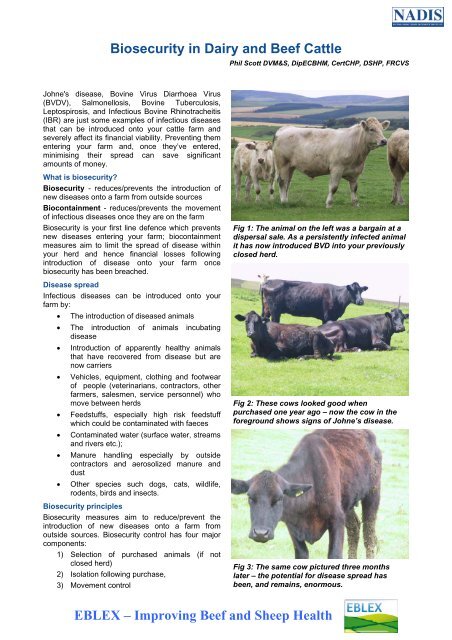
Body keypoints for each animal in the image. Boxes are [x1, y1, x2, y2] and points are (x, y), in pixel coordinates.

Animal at [231, 429, 382, 559]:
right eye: (250, 497)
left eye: (279, 498)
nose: (260, 533)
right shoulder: (292, 526)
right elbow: (302, 554)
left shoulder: (337, 518)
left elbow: (335, 555)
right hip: (347, 502)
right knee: (354, 527)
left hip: (373, 493)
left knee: (369, 536)